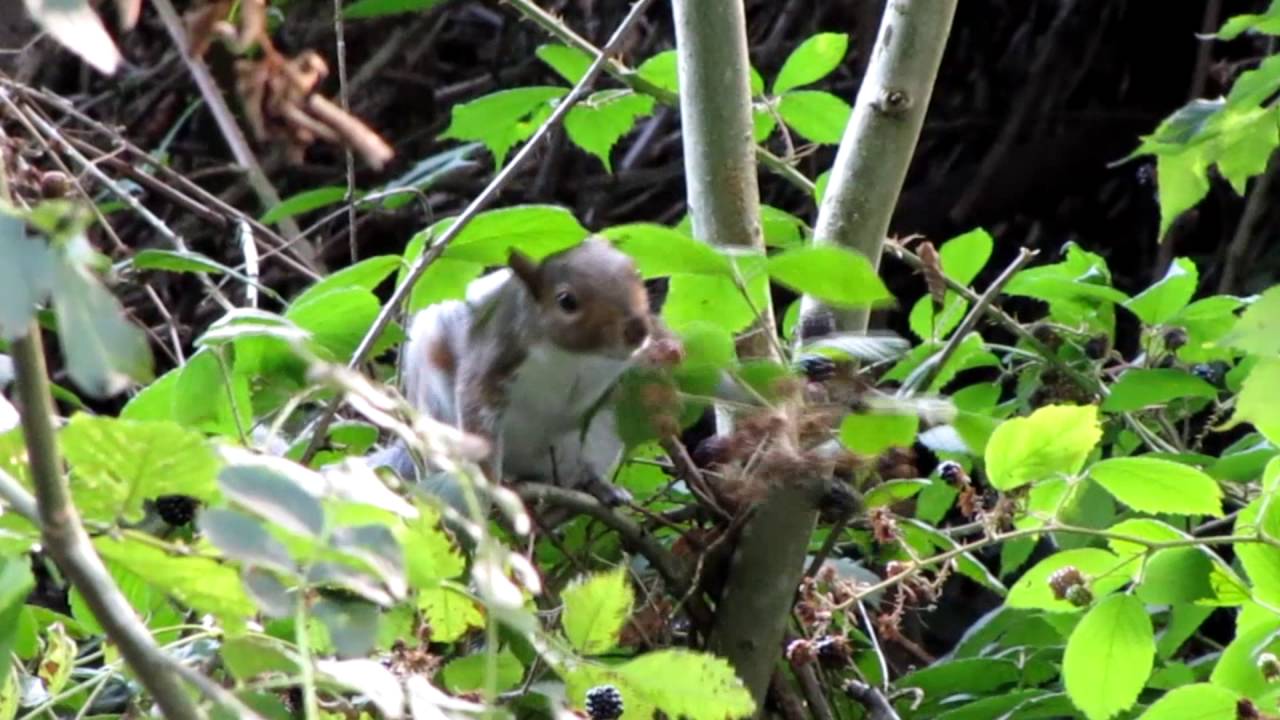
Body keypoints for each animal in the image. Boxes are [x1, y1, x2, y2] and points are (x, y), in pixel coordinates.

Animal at [371, 236, 678, 512]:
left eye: (636, 274)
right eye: (566, 301)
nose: (637, 329)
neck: (575, 357)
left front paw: (668, 351)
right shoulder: (496, 355)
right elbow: (477, 407)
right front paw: (489, 485)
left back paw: (597, 485)